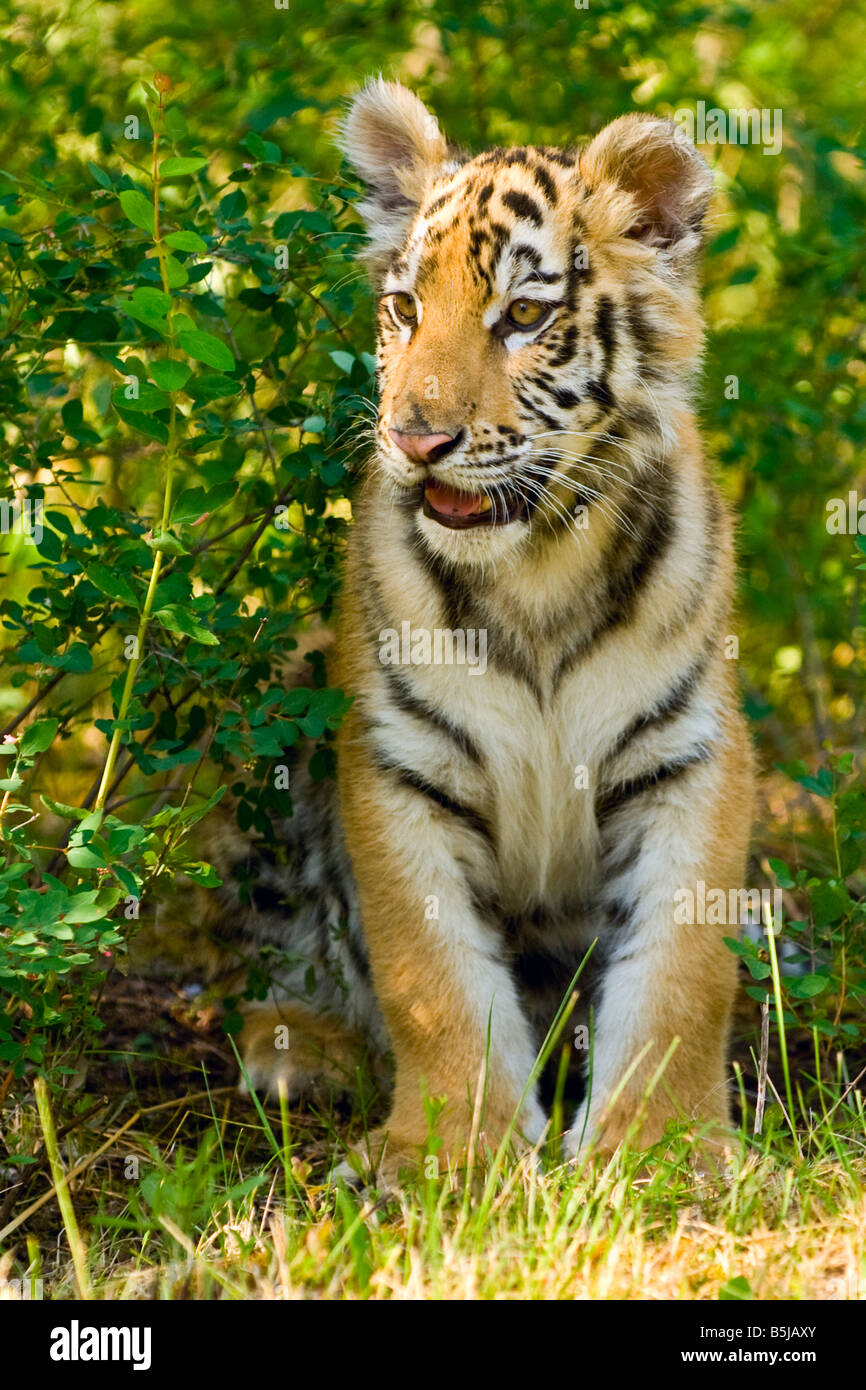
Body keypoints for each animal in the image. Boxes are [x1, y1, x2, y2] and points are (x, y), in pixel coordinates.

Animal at [202, 78, 755, 1185]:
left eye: (524, 316)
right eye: (406, 308)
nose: (417, 441)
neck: (536, 565)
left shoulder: (693, 756)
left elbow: (683, 974)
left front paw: (660, 1149)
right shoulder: (397, 763)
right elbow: (430, 977)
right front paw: (448, 1153)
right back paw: (301, 1048)